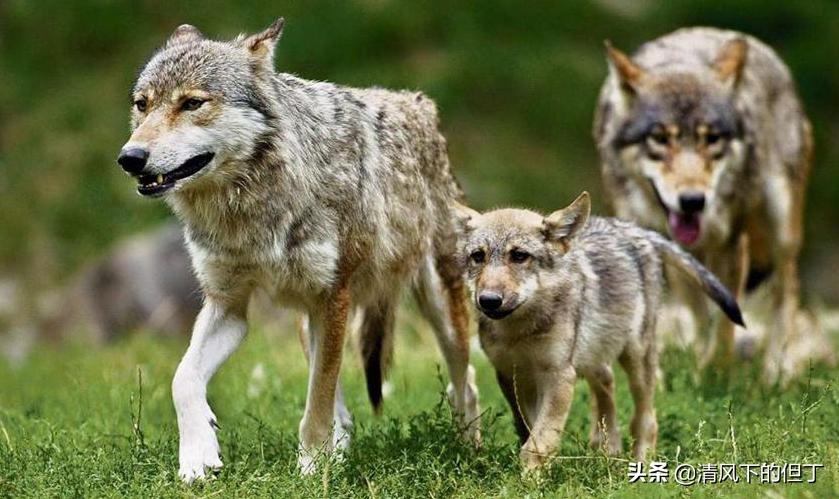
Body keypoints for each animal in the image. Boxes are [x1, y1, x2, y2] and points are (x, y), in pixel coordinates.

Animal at [117, 19, 480, 482]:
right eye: (142, 105)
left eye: (192, 103)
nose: (130, 157)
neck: (251, 209)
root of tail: (419, 104)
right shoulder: (229, 306)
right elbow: (182, 380)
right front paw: (198, 459)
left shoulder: (331, 298)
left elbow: (316, 404)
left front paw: (309, 470)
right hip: (308, 324)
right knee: (346, 411)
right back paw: (340, 457)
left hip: (436, 313)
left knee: (465, 383)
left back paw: (470, 452)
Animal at [453, 192, 743, 470]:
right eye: (478, 256)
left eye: (519, 256)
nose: (488, 300)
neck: (519, 330)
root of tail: (631, 227)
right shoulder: (511, 376)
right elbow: (528, 429)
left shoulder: (559, 375)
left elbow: (540, 440)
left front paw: (530, 480)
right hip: (592, 355)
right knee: (607, 381)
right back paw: (606, 447)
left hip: (636, 360)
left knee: (646, 419)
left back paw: (639, 465)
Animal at [593, 27, 812, 382]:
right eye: (660, 138)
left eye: (711, 139)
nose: (693, 201)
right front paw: (669, 377)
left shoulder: (730, 244)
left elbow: (725, 323)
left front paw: (715, 376)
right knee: (698, 308)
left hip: (780, 226)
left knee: (786, 289)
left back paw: (775, 372)